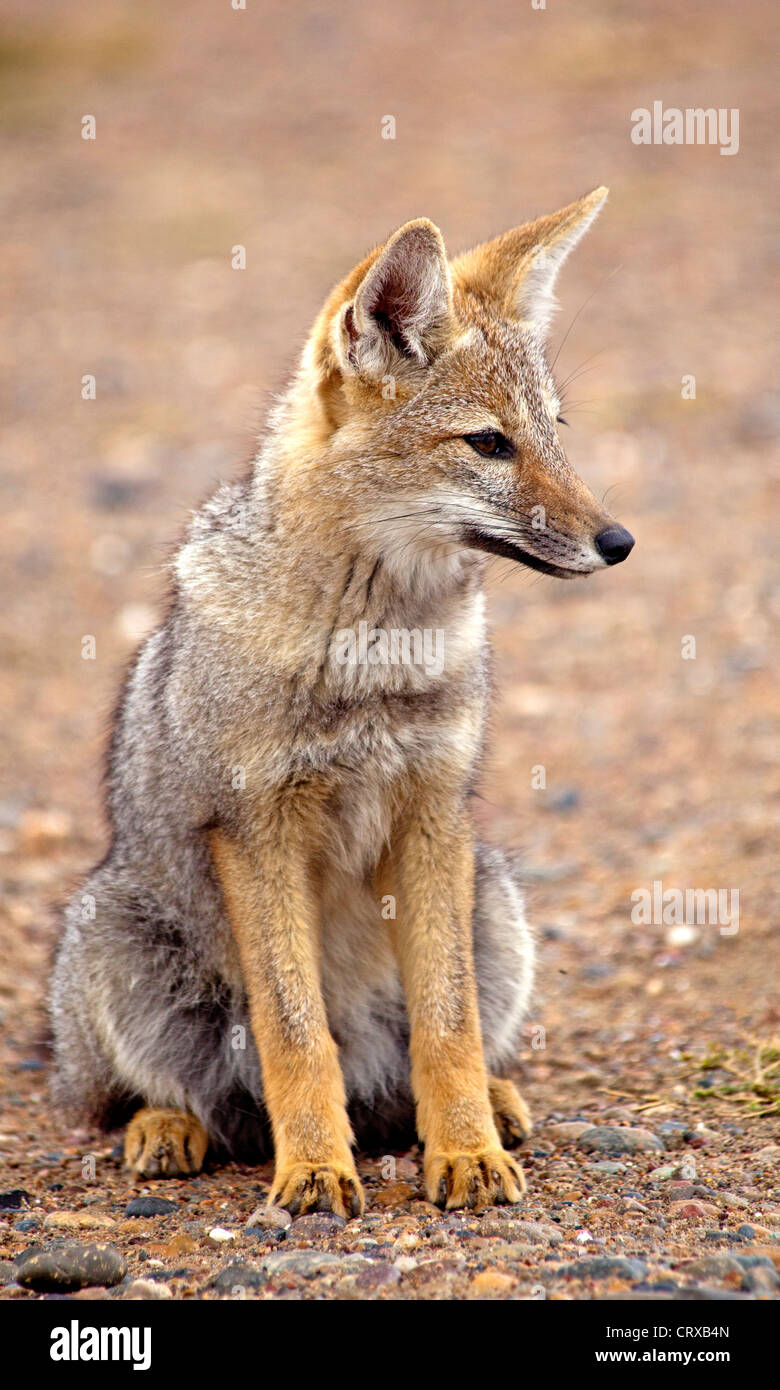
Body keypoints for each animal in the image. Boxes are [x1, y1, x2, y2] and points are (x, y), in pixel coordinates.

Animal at [50, 187, 634, 1216]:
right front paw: (317, 1169)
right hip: (120, 944)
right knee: (139, 1099)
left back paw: (494, 1101)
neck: (373, 660)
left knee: (426, 1056)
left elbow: (448, 1024)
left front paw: (467, 1152)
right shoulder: (256, 829)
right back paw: (168, 1128)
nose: (620, 541)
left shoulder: (434, 812)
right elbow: (293, 1032)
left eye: (557, 430)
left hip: (493, 898)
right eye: (489, 444)